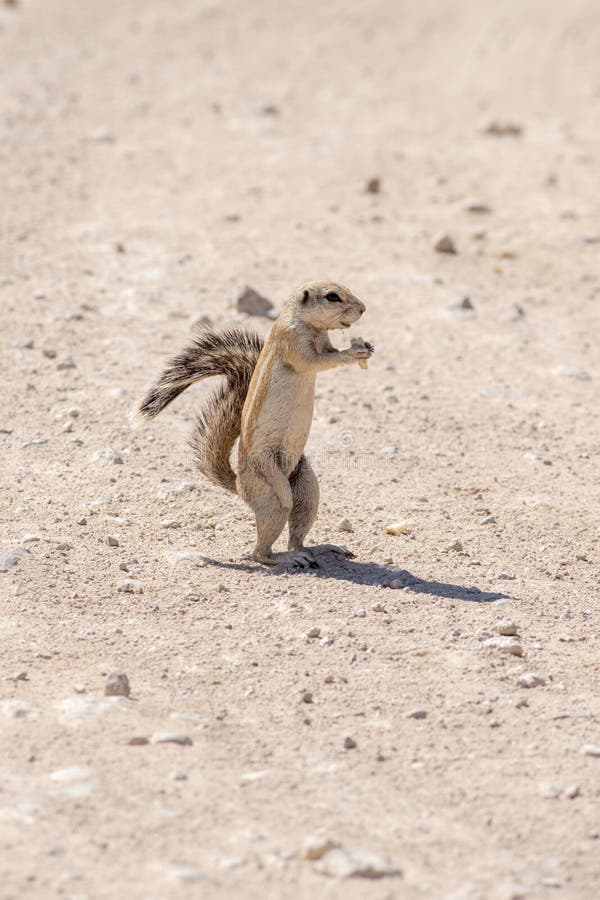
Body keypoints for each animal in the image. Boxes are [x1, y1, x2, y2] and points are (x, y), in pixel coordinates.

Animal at [136, 281, 374, 568]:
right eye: (332, 297)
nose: (363, 309)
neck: (308, 325)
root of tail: (240, 485)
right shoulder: (291, 341)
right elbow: (317, 361)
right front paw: (354, 352)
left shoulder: (323, 341)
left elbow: (328, 352)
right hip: (272, 491)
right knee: (260, 552)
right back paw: (287, 559)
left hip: (306, 487)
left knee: (297, 537)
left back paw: (319, 549)